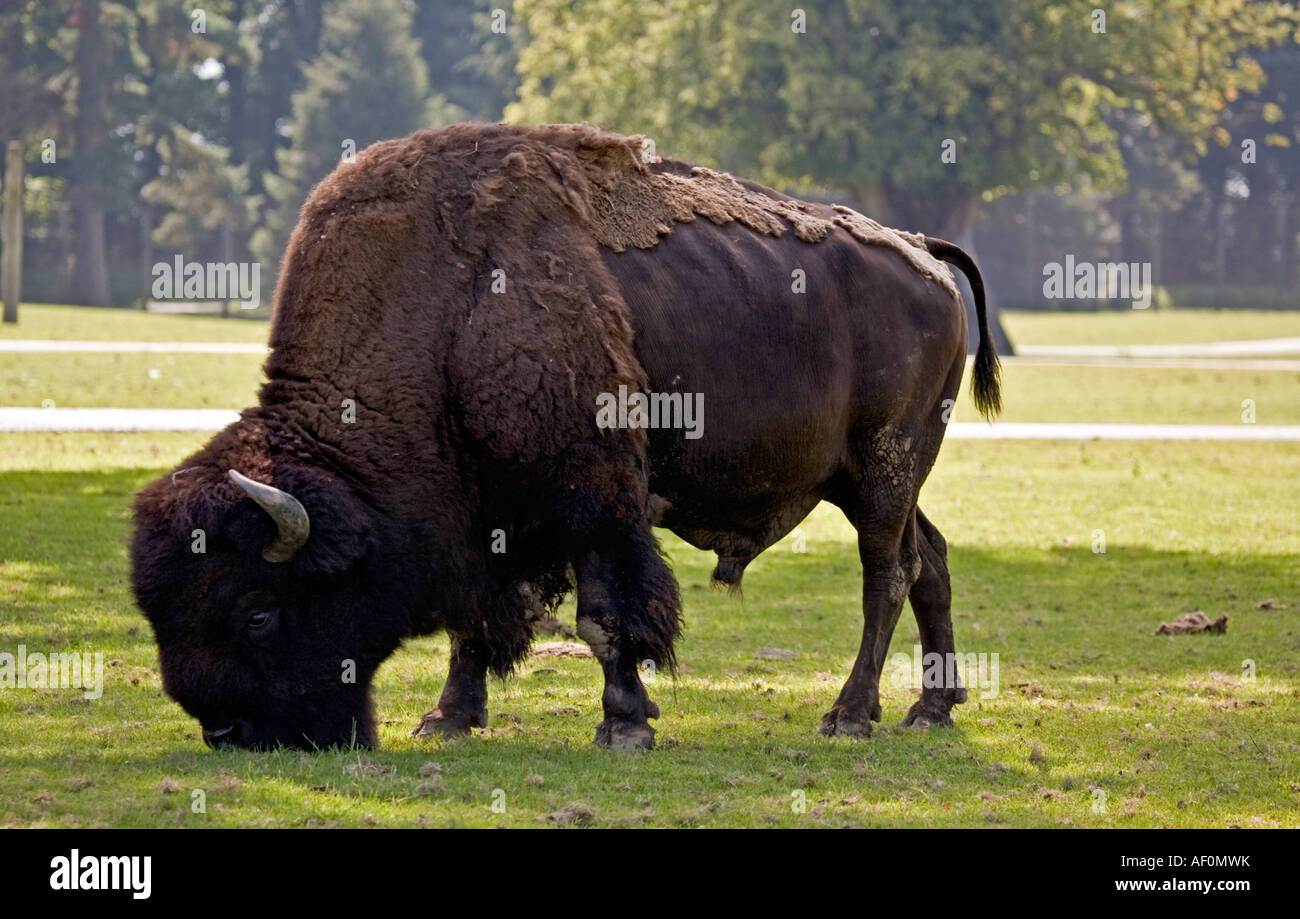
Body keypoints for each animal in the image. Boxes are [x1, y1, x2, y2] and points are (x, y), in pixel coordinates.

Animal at [130, 123, 999, 751]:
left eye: (257, 612)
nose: (227, 731)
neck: (445, 318)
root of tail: (922, 251)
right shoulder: (486, 516)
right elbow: (476, 619)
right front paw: (447, 718)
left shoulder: (596, 501)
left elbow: (603, 617)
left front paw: (625, 725)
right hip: (866, 481)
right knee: (932, 560)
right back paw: (932, 707)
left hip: (882, 471)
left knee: (887, 575)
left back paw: (849, 715)